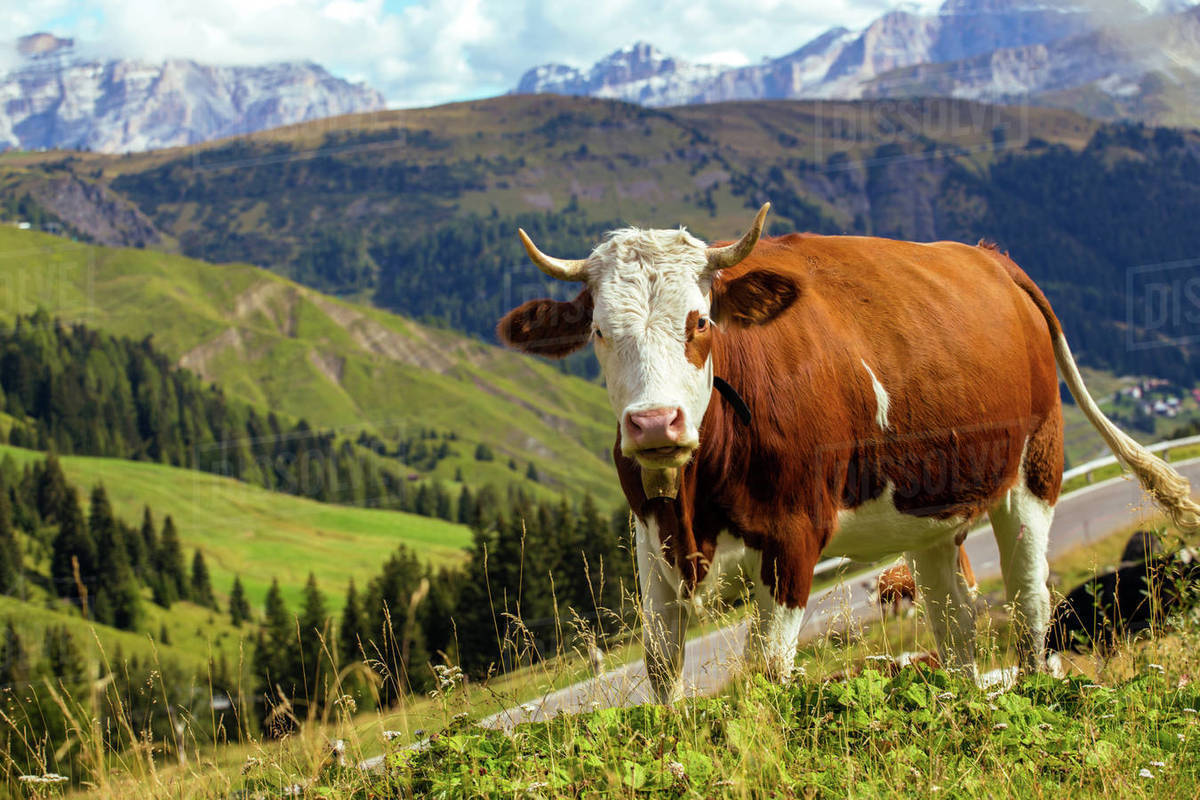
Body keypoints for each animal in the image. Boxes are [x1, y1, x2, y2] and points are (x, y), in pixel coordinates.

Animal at [497, 204, 1200, 701]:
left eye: (701, 321)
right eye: (597, 331)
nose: (652, 423)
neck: (694, 502)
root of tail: (991, 259)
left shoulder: (793, 535)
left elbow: (764, 670)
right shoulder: (651, 537)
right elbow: (662, 666)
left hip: (1032, 474)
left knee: (1030, 607)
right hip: (932, 518)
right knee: (956, 624)